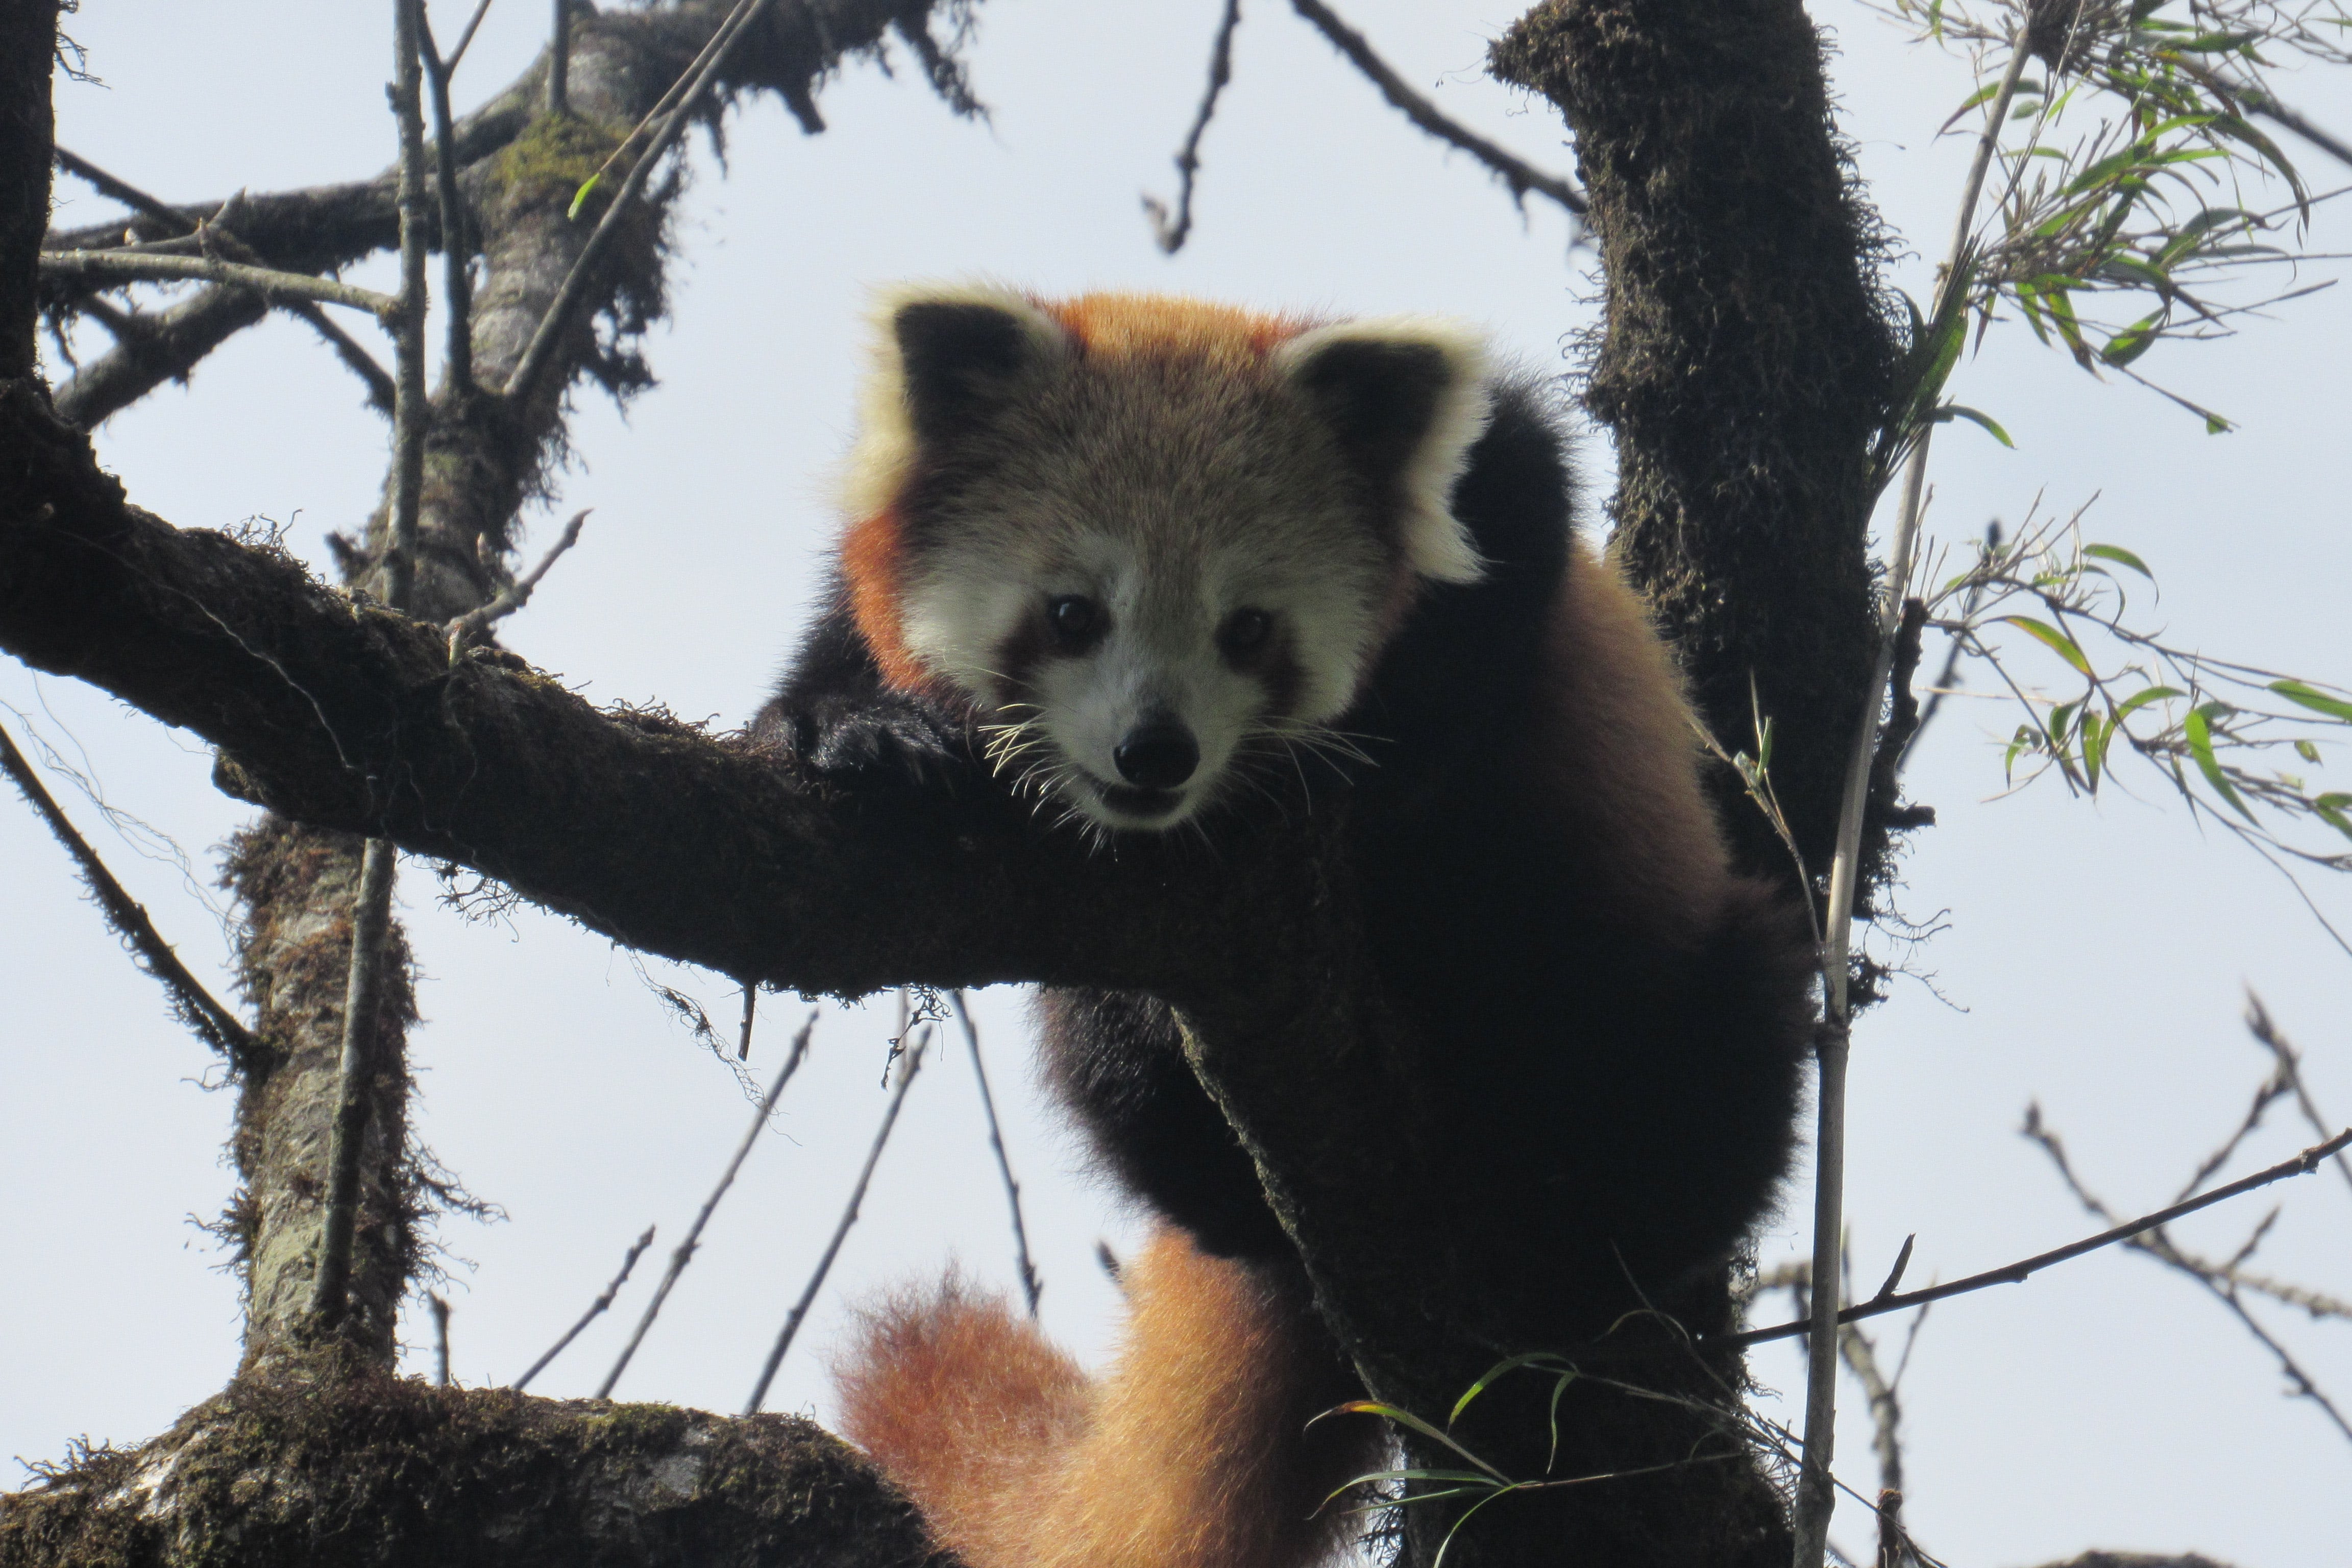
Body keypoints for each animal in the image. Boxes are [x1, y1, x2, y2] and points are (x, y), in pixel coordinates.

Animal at [757, 286, 1816, 1568]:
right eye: (1071, 614)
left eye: (1249, 629)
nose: (1155, 753)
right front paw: (855, 727)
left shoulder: (1499, 505)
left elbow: (1499, 562)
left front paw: (1365, 767)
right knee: (1112, 1073)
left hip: (1661, 979)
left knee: (1712, 1059)